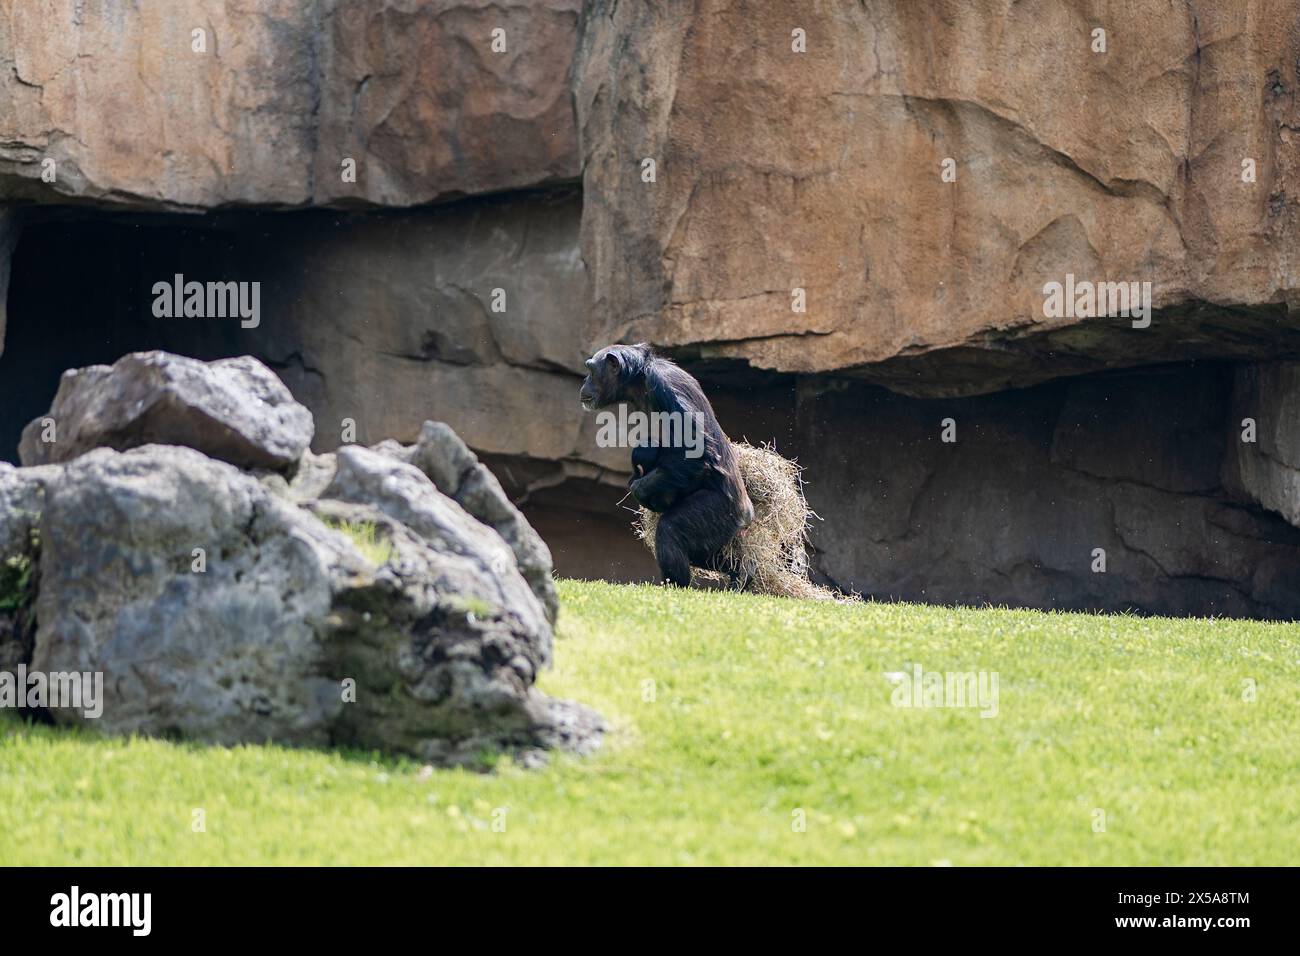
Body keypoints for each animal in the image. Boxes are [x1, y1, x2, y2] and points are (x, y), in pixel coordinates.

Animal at [580, 343, 754, 588]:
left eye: (591, 369)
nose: (584, 380)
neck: (640, 377)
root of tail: (747, 516)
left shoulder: (664, 385)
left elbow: (698, 448)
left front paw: (639, 488)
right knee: (705, 551)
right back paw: (744, 572)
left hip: (719, 511)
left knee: (671, 530)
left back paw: (675, 586)